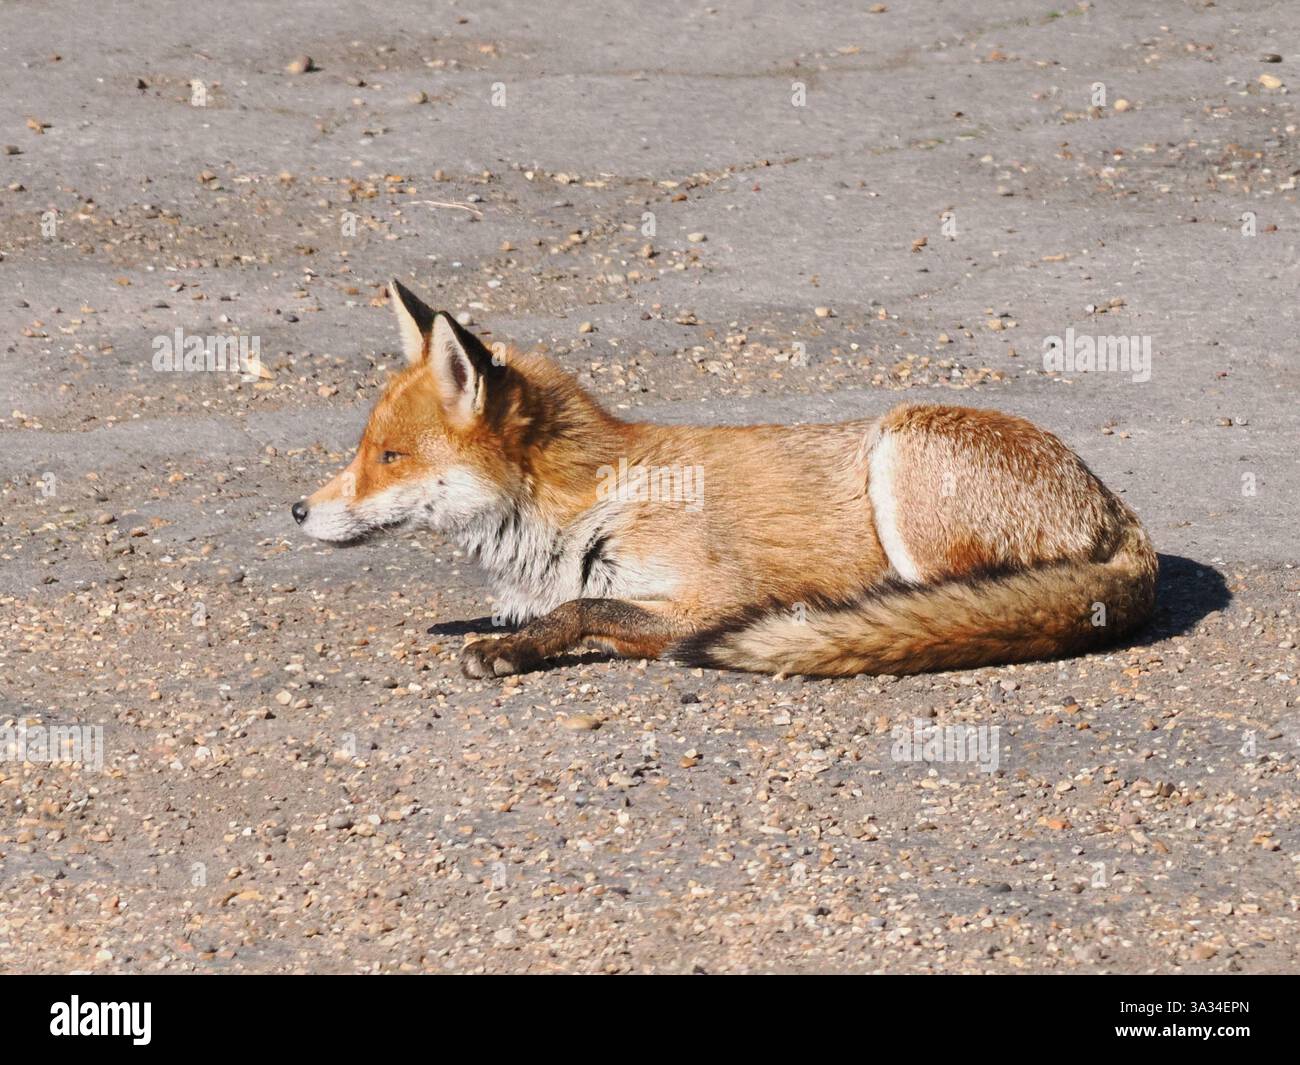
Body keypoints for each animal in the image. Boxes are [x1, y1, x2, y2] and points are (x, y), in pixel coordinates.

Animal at [292, 279, 1158, 680]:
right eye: (367, 449)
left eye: (389, 457)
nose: (298, 509)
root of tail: (1124, 518)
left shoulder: (713, 597)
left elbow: (586, 605)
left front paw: (520, 646)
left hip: (903, 455)